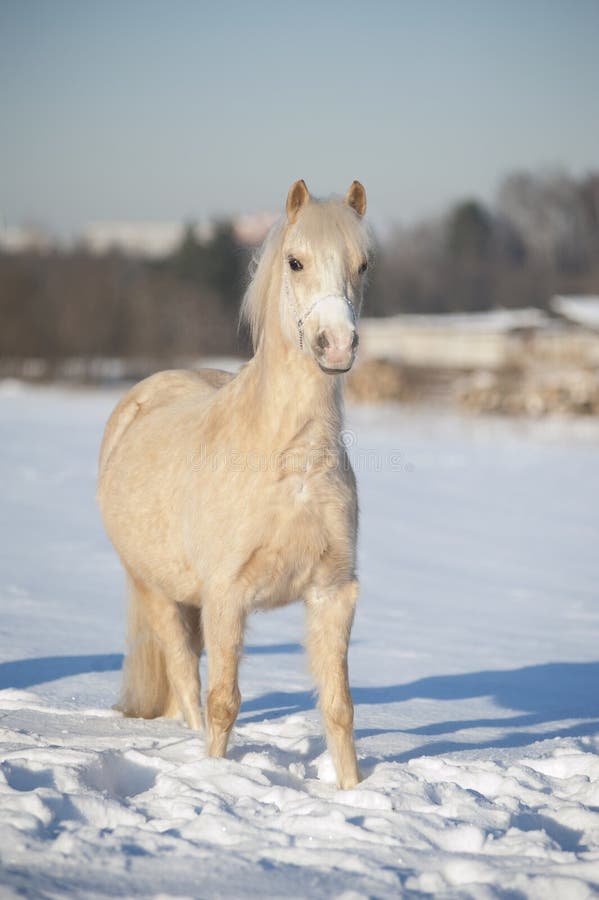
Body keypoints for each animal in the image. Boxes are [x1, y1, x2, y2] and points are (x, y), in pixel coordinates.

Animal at [97, 179, 371, 789]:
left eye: (363, 265)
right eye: (295, 261)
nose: (337, 345)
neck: (290, 466)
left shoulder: (332, 593)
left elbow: (338, 707)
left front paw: (353, 791)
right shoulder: (227, 598)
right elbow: (223, 701)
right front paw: (215, 776)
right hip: (156, 590)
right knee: (184, 676)